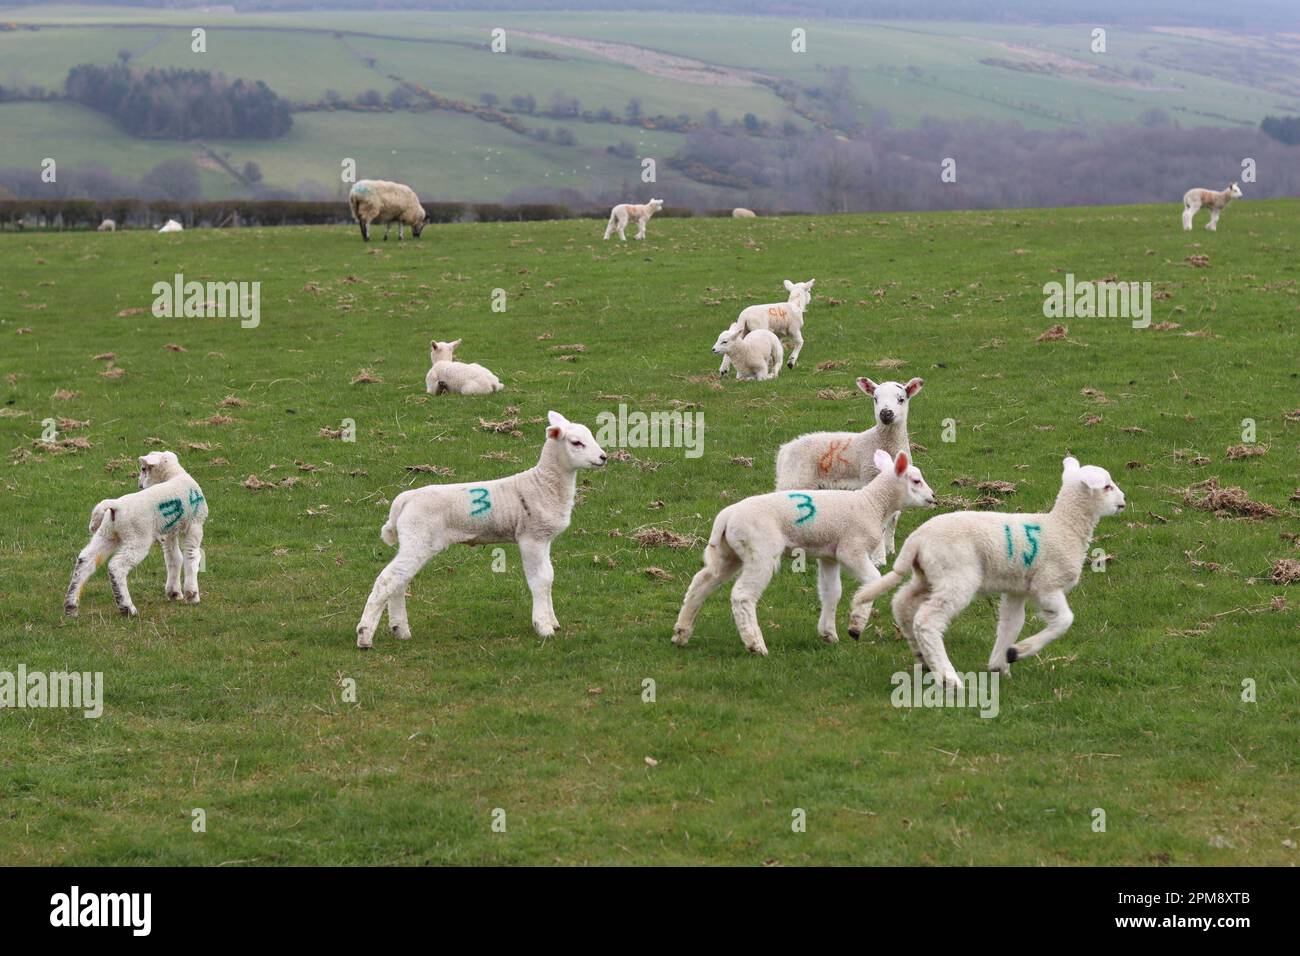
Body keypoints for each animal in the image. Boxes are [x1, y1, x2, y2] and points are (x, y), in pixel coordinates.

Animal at [64, 451, 208, 618]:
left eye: (144, 469)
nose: (140, 485)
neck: (174, 475)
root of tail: (115, 505)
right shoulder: (195, 525)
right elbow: (191, 556)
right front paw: (192, 595)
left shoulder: (168, 531)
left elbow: (174, 558)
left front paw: (174, 592)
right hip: (138, 538)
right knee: (116, 566)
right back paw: (127, 607)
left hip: (107, 534)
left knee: (85, 560)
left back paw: (71, 606)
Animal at [355, 411, 607, 648]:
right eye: (576, 442)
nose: (603, 457)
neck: (543, 485)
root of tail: (405, 499)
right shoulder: (531, 538)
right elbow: (540, 579)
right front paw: (543, 626)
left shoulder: (544, 539)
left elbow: (550, 576)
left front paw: (552, 621)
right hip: (418, 538)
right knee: (388, 580)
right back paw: (365, 636)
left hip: (414, 542)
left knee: (399, 581)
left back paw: (400, 630)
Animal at [672, 450, 936, 655]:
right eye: (916, 481)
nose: (933, 498)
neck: (872, 504)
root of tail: (726, 517)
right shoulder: (851, 549)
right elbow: (873, 580)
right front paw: (856, 626)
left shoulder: (829, 555)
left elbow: (832, 592)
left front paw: (828, 634)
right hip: (760, 550)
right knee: (742, 595)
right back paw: (756, 645)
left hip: (728, 553)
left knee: (702, 582)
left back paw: (681, 632)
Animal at [775, 376, 923, 563]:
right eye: (875, 398)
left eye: (901, 399)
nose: (885, 414)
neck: (881, 442)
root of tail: (784, 450)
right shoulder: (869, 477)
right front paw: (878, 558)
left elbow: (893, 519)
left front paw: (890, 551)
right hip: (793, 480)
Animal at [855, 456, 1126, 689]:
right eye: (1107, 486)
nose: (1123, 501)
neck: (1065, 527)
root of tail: (917, 538)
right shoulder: (1047, 585)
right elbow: (1064, 621)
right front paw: (1018, 651)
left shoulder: (1017, 589)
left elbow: (1011, 623)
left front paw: (1000, 663)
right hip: (957, 576)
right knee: (927, 620)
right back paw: (949, 677)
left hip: (929, 575)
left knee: (902, 603)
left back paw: (922, 658)